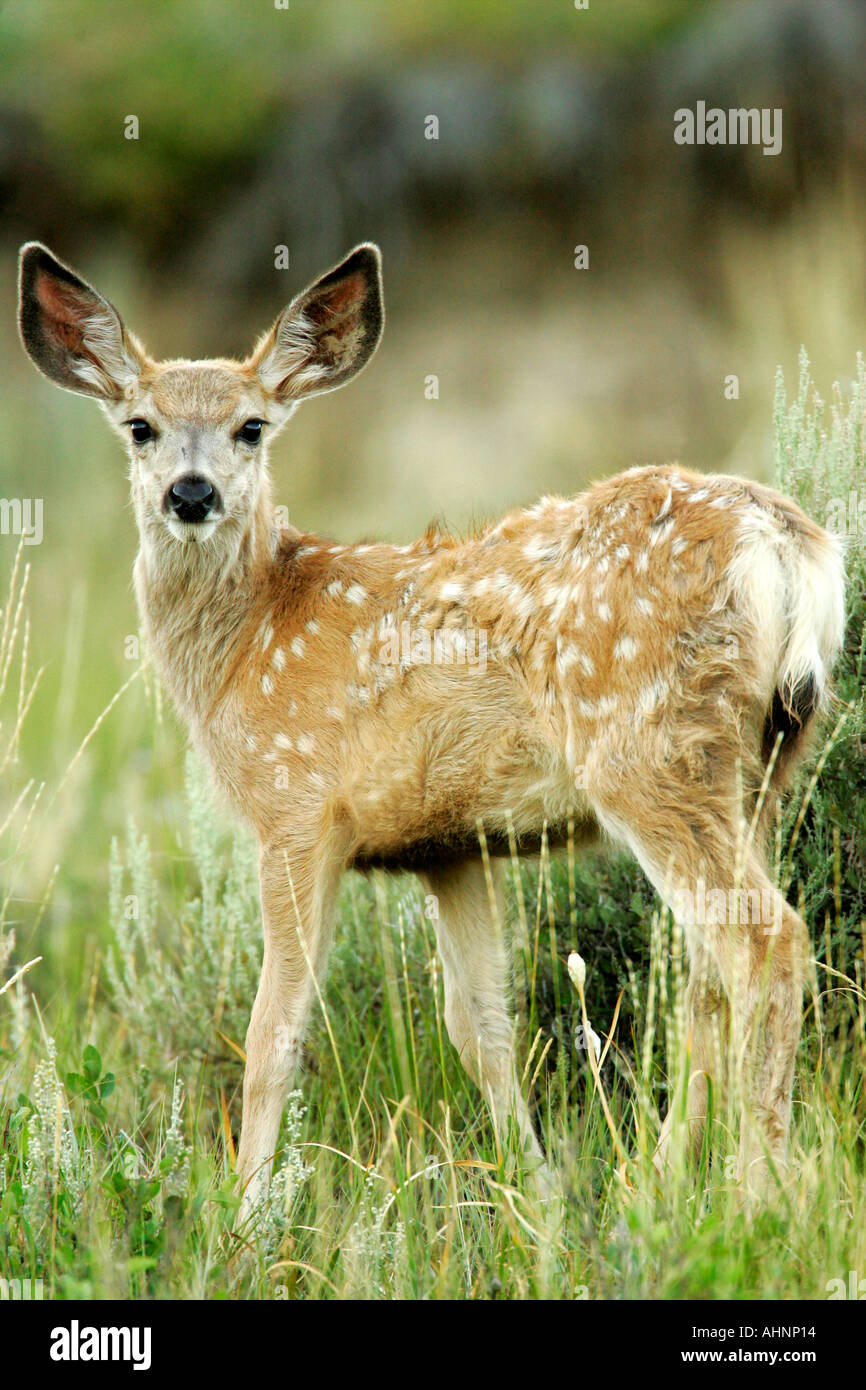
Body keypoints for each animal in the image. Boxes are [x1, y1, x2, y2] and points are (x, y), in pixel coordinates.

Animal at [18, 240, 845, 1224]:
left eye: (252, 427)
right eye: (140, 426)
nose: (191, 492)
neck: (248, 640)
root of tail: (788, 542)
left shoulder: (295, 809)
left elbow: (276, 1029)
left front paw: (248, 1217)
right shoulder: (454, 847)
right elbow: (481, 1028)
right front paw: (538, 1198)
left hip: (648, 752)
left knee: (763, 942)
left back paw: (756, 1196)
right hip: (763, 764)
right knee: (705, 974)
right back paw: (660, 1184)